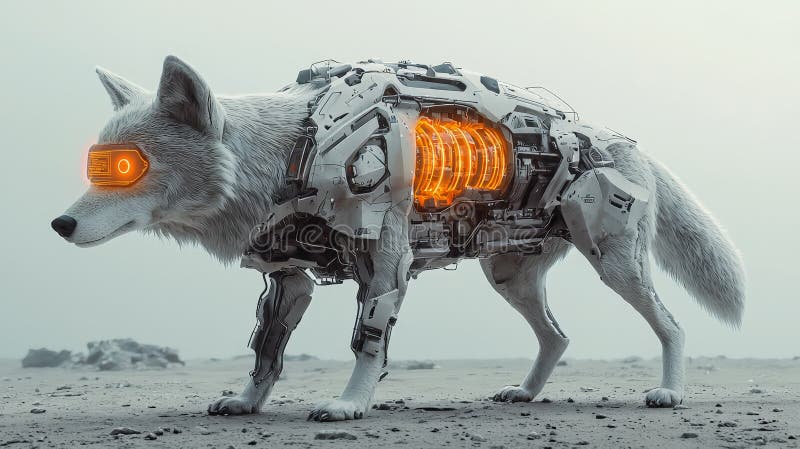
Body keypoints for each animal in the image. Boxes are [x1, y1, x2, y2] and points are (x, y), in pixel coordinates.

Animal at [52, 55, 745, 421]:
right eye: (96, 165)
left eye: (128, 167)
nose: (60, 225)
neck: (289, 149)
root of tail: (626, 141)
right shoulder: (290, 283)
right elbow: (264, 355)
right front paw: (248, 401)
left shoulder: (385, 268)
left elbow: (367, 346)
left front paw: (349, 405)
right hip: (510, 277)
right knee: (558, 336)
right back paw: (524, 393)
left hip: (615, 266)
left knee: (672, 326)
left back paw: (669, 392)